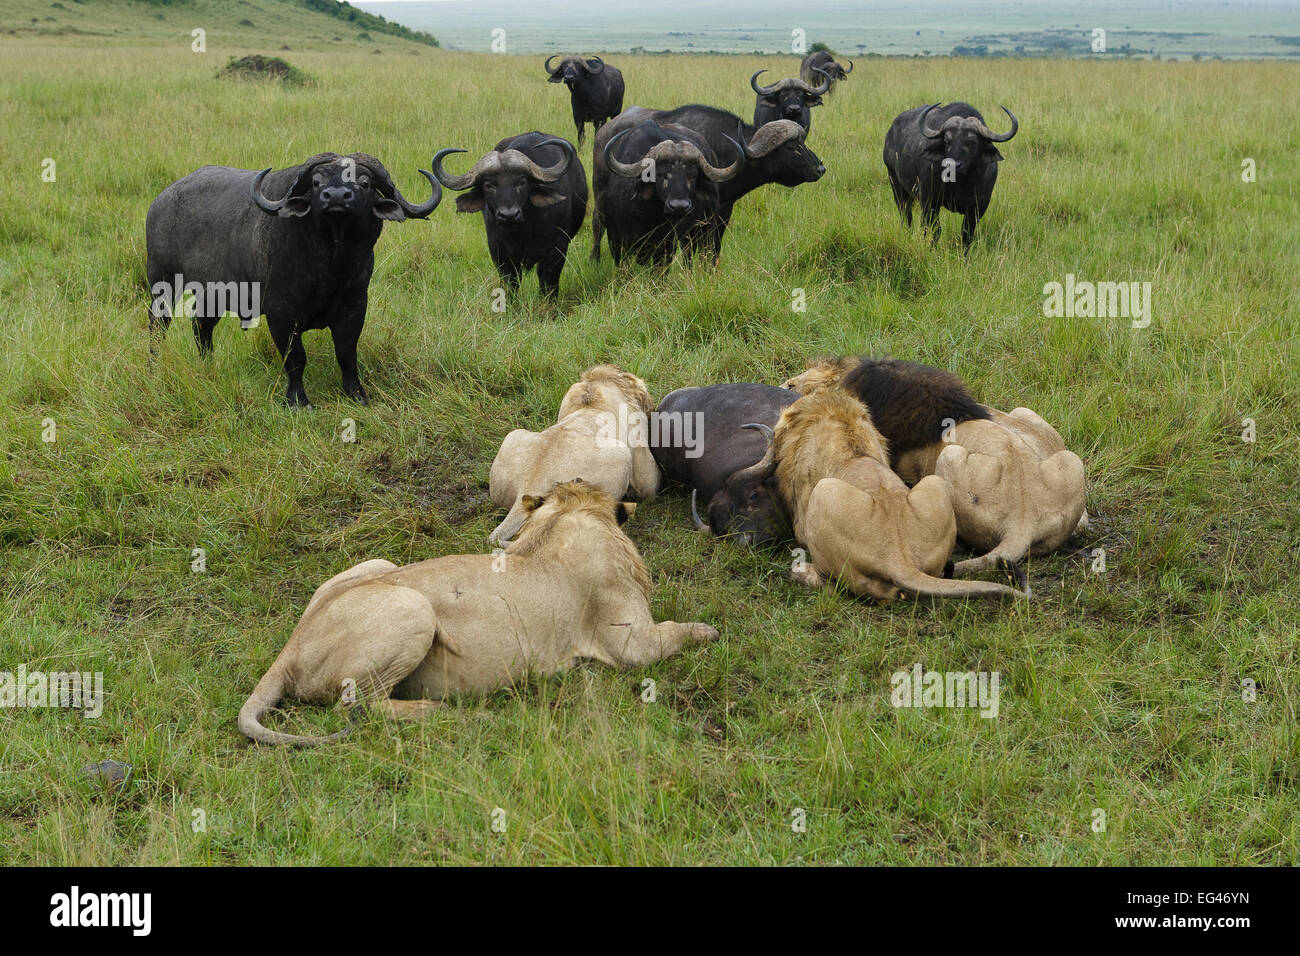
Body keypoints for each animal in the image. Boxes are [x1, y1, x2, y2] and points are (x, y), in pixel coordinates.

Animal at [146, 152, 440, 407]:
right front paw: (298, 401)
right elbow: (296, 358)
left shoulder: (355, 307)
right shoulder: (281, 315)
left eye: (364, 183)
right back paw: (154, 367)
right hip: (163, 281)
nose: (335, 196)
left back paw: (208, 366)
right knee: (159, 325)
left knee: (201, 327)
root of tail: (160, 202)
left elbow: (346, 353)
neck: (330, 268)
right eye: (316, 182)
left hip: (211, 295)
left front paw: (356, 394)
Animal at [432, 133, 586, 299]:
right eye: (488, 185)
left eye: (522, 182)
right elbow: (511, 283)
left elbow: (549, 282)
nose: (509, 215)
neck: (524, 231)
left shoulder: (557, 249)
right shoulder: (499, 252)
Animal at [599, 120, 742, 266]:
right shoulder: (617, 242)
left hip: (706, 229)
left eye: (693, 176)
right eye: (660, 174)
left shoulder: (667, 246)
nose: (679, 207)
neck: (648, 215)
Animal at [883, 102, 1019, 250]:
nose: (953, 165)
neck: (960, 183)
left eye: (971, 142)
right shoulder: (929, 202)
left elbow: (967, 234)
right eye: (947, 141)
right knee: (906, 217)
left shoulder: (978, 206)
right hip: (896, 184)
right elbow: (934, 230)